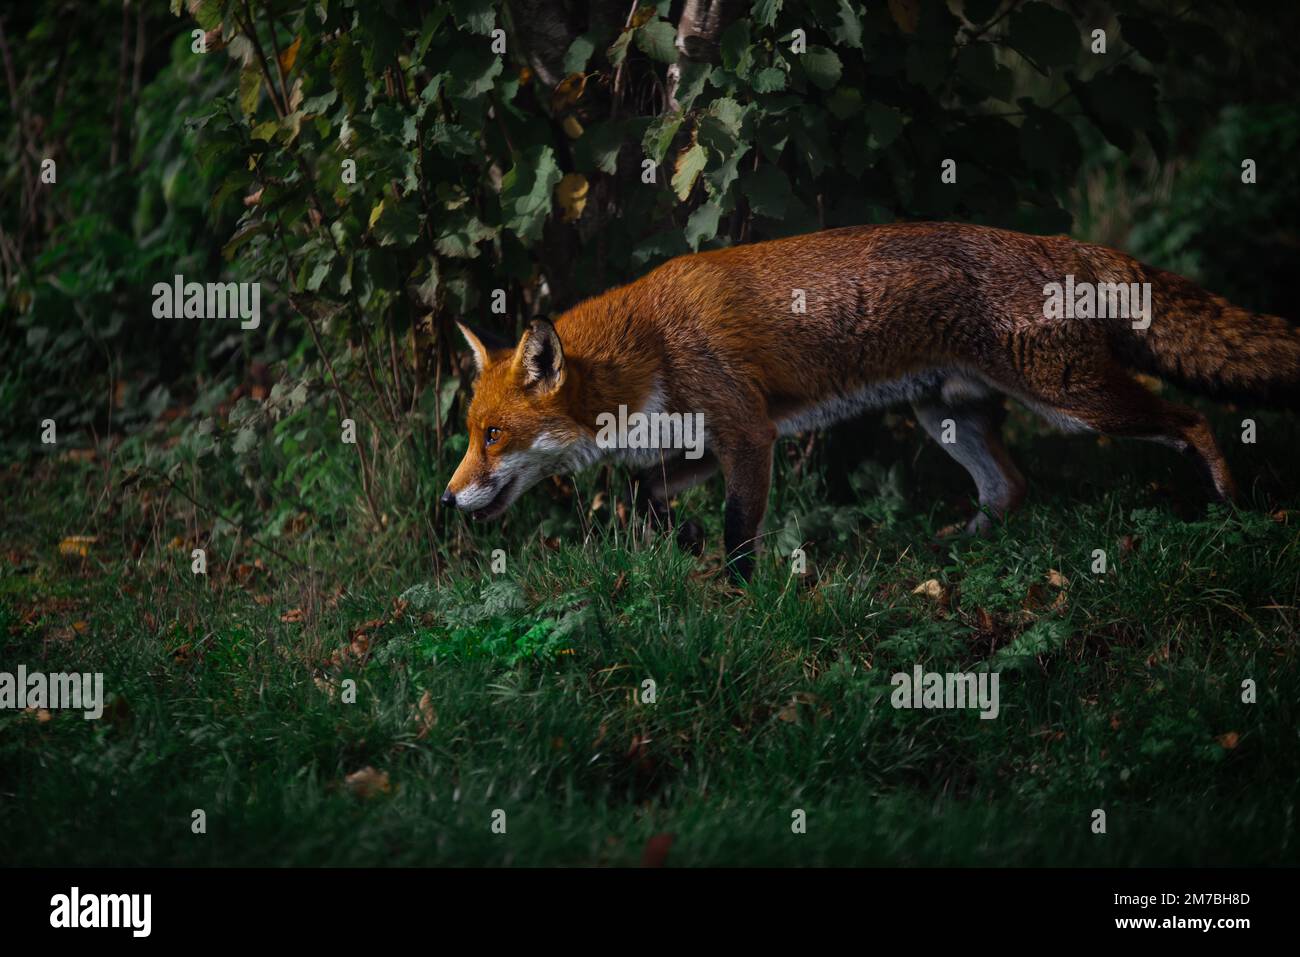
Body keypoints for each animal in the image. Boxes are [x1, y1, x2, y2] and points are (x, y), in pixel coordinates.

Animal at [441, 222, 1300, 580]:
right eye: (471, 432)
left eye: (493, 434)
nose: (447, 499)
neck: (650, 346)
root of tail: (1058, 241)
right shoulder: (702, 442)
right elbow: (642, 487)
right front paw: (671, 540)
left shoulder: (748, 433)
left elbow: (738, 532)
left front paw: (738, 594)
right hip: (946, 415)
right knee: (1009, 487)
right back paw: (952, 550)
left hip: (1074, 401)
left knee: (1191, 418)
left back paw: (1230, 505)